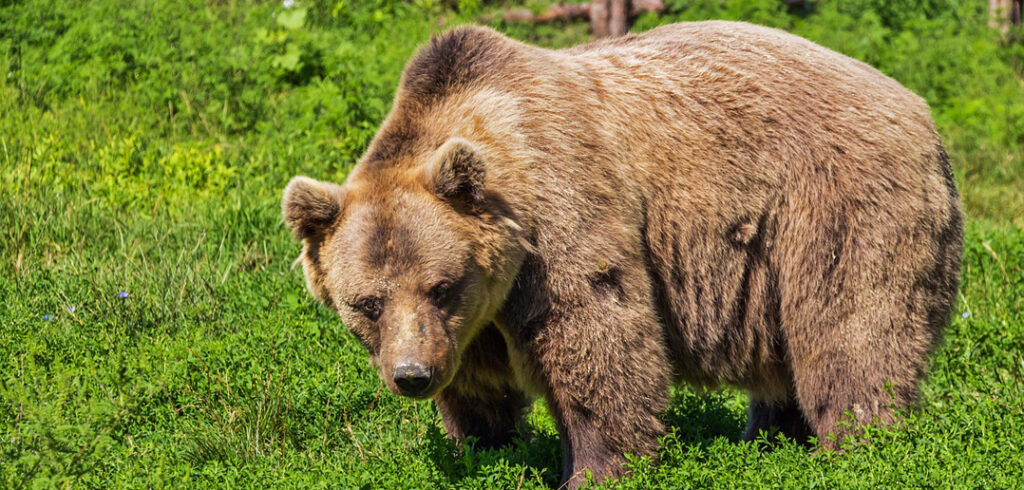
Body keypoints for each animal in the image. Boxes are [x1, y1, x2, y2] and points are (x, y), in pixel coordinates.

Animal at [282, 21, 963, 487]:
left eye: (440, 285)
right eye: (367, 303)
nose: (412, 376)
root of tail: (921, 111)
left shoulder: (560, 217)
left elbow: (599, 338)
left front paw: (595, 468)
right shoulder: (472, 321)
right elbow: (479, 387)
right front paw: (485, 446)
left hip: (835, 207)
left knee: (851, 334)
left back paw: (859, 446)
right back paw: (769, 440)